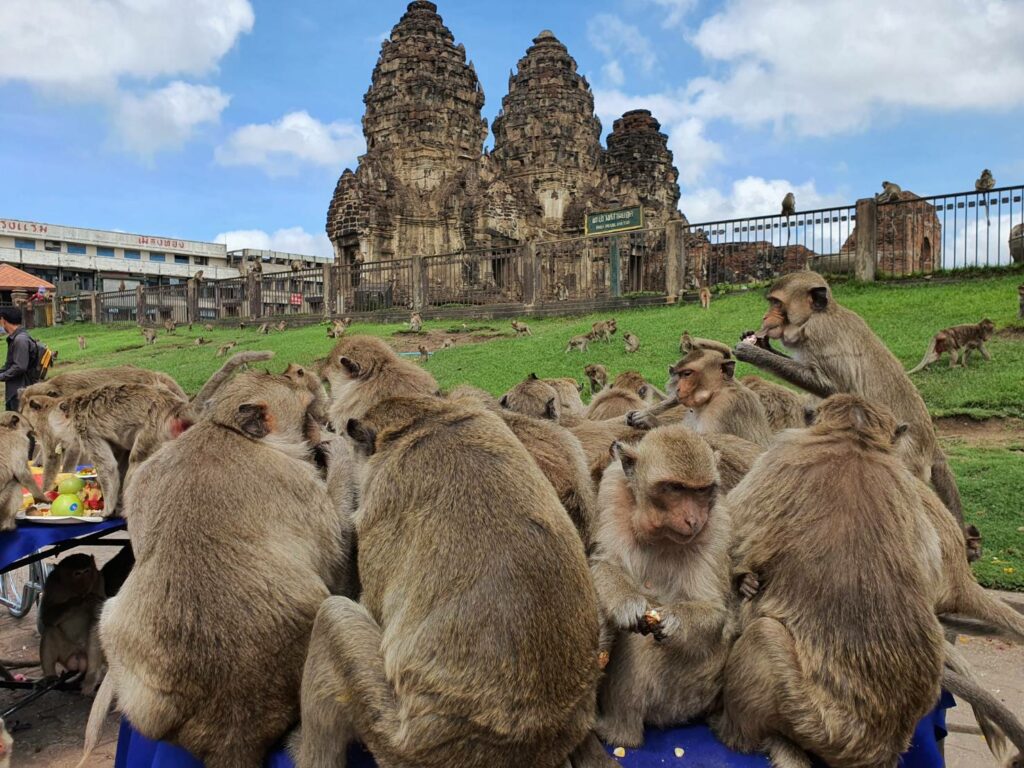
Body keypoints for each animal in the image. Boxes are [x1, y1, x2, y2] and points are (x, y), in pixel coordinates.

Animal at [40, 554, 106, 692]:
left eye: (87, 571)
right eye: (77, 574)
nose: (85, 583)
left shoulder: (98, 578)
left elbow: (99, 617)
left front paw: (93, 602)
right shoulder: (51, 583)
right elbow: (46, 616)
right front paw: (76, 601)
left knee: (95, 627)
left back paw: (91, 677)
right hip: (67, 653)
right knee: (50, 629)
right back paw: (50, 677)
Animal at [81, 369, 352, 768]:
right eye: (304, 409)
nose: (299, 371)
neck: (226, 430)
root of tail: (232, 735)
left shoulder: (151, 471)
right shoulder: (298, 482)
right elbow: (336, 547)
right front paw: (341, 448)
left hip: (146, 706)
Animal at [591, 425, 736, 747]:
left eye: (701, 490)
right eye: (675, 488)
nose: (693, 519)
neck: (659, 534)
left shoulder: (717, 526)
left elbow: (714, 610)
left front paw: (675, 619)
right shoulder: (612, 490)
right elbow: (603, 563)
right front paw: (626, 603)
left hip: (691, 688)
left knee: (643, 642)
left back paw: (620, 732)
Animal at [712, 395, 951, 768]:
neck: (853, 439)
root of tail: (880, 744)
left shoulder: (782, 453)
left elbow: (733, 533)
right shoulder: (905, 484)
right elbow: (929, 568)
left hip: (807, 715)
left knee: (764, 634)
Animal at [732, 271, 978, 559]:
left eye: (777, 304)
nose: (765, 318)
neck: (820, 315)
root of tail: (931, 444)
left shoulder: (821, 334)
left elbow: (836, 387)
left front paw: (753, 352)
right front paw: (759, 342)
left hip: (905, 456)